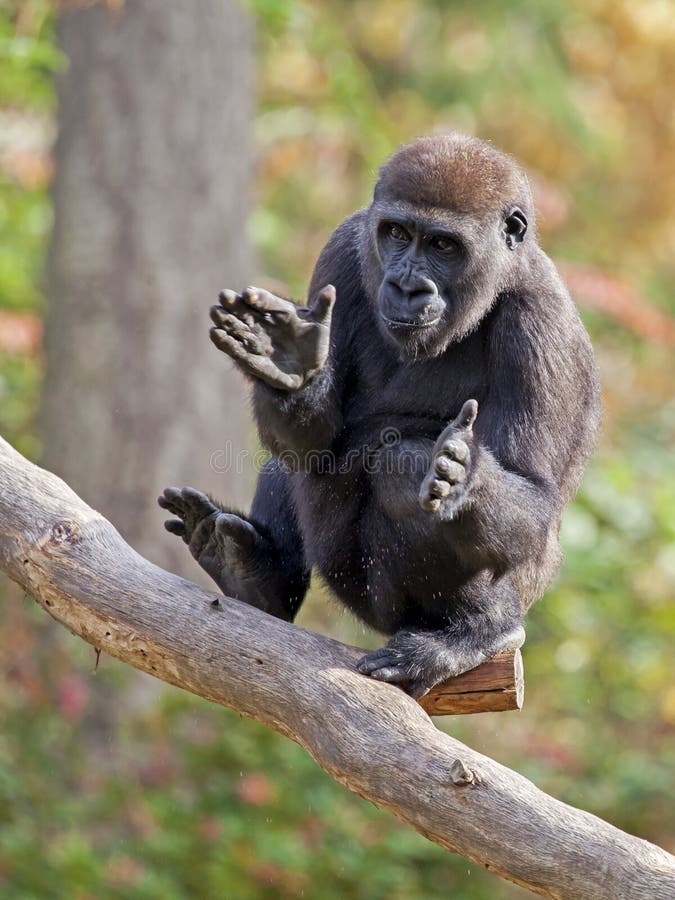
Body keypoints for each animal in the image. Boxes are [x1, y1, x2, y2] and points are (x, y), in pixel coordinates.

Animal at [159, 133, 600, 699]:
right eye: (396, 234)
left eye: (443, 246)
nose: (407, 287)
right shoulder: (345, 244)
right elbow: (311, 443)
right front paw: (290, 368)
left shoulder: (543, 325)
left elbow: (535, 501)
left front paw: (468, 477)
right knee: (292, 463)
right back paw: (254, 577)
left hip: (398, 614)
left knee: (400, 470)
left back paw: (472, 633)